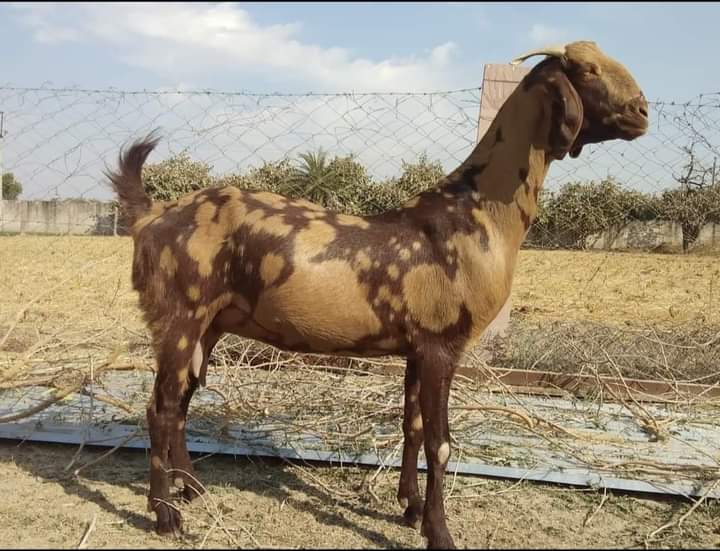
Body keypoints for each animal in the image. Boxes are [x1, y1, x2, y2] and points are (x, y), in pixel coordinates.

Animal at [108, 41, 648, 549]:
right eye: (588, 70)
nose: (642, 110)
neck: (473, 214)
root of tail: (151, 215)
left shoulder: (417, 346)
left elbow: (412, 427)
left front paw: (409, 508)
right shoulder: (442, 345)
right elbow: (440, 443)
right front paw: (439, 532)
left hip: (209, 325)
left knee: (180, 403)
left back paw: (192, 490)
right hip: (178, 316)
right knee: (160, 408)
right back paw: (166, 515)